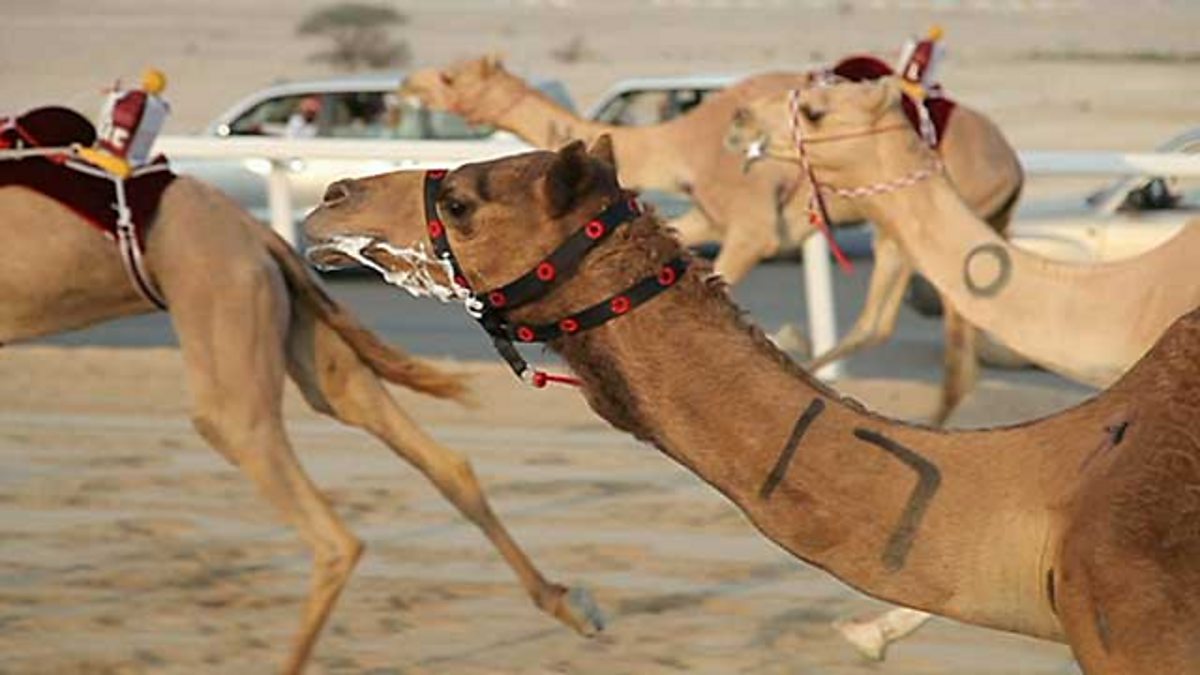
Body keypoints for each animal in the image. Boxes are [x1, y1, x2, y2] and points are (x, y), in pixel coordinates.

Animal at [1, 170, 602, 673]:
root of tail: (258, 233)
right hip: (296, 330)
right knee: (439, 459)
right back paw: (571, 605)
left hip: (226, 333)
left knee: (325, 529)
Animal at [401, 55, 1025, 423]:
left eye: (451, 77)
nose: (407, 83)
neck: (681, 146)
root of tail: (1012, 162)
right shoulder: (706, 218)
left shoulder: (753, 228)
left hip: (915, 217)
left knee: (894, 320)